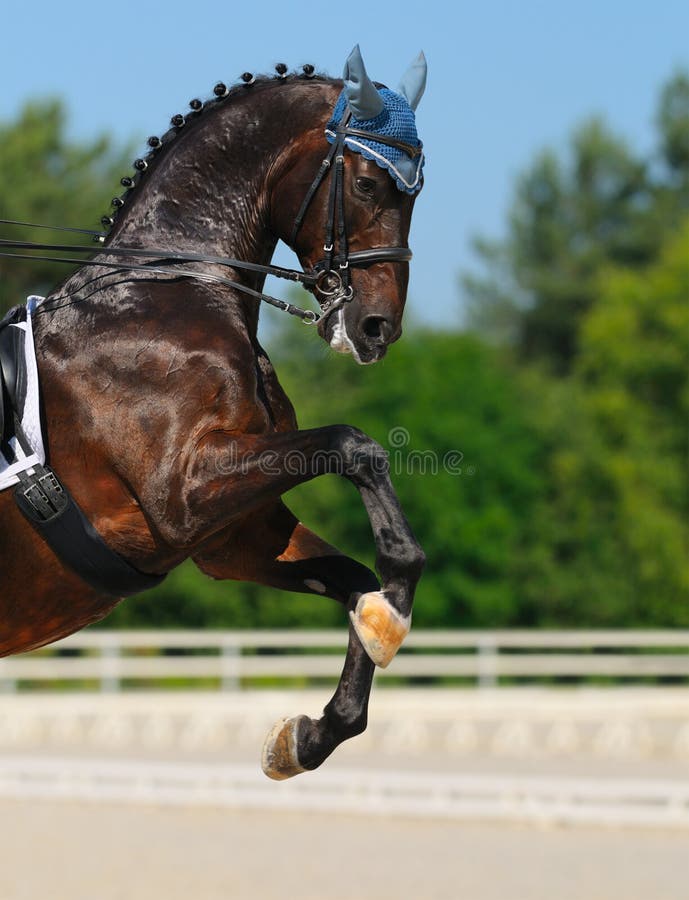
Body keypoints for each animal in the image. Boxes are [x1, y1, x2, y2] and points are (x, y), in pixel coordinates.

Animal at [0, 46, 427, 779]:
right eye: (370, 183)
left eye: (415, 189)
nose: (376, 329)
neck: (170, 289)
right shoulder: (181, 498)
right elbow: (353, 444)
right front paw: (392, 611)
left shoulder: (234, 536)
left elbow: (353, 580)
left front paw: (308, 735)